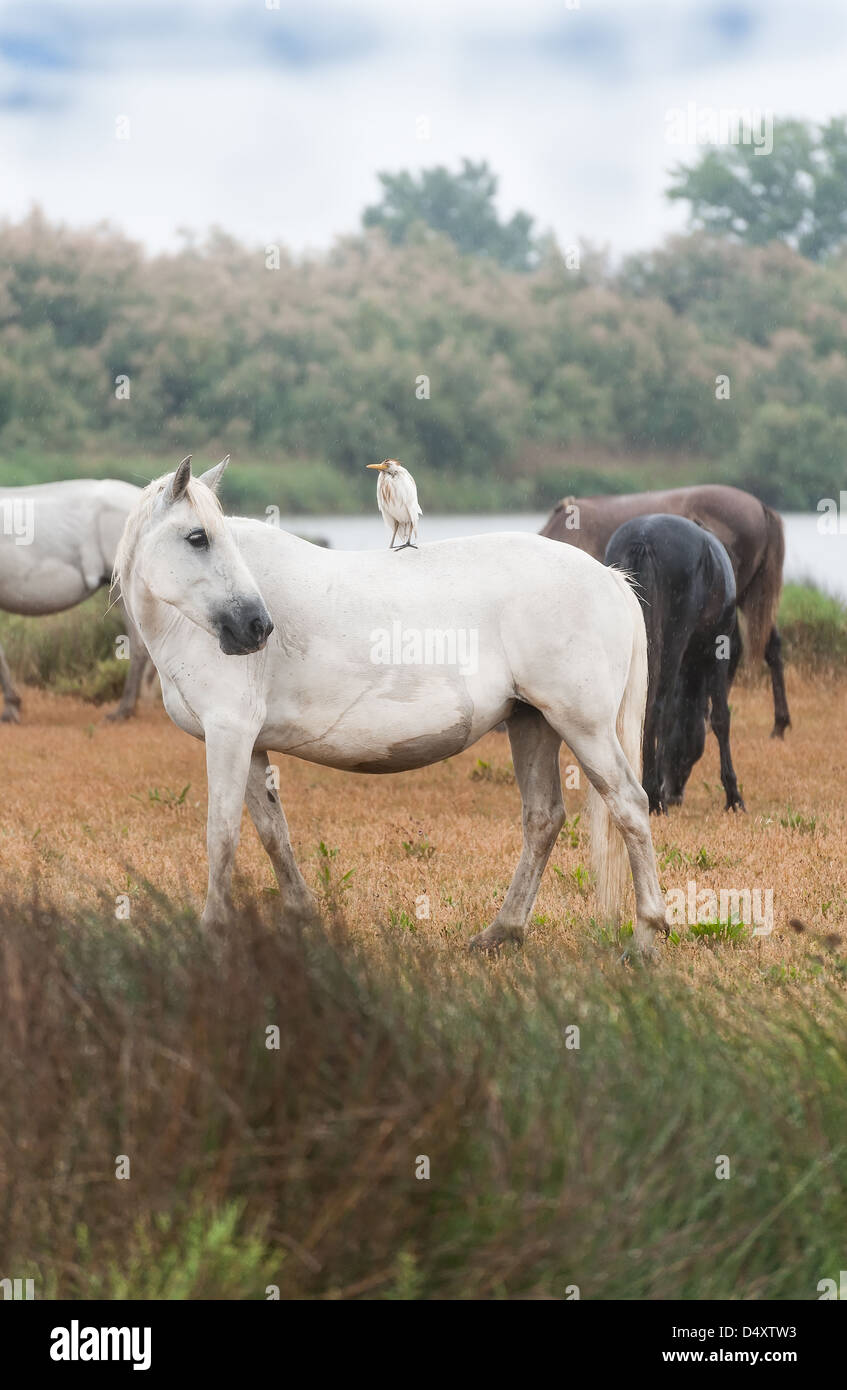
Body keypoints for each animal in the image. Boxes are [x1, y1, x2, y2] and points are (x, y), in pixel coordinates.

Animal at [114, 456, 669, 955]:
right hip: (532, 723)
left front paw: (212, 932)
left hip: (584, 728)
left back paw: (645, 936)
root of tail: (608, 577)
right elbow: (273, 833)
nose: (256, 626)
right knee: (543, 819)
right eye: (198, 538)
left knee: (628, 806)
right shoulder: (249, 747)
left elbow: (222, 835)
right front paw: (302, 917)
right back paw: (502, 932)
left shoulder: (229, 735)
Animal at [605, 515, 744, 815]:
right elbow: (720, 718)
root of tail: (643, 539)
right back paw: (653, 796)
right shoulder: (718, 649)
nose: (674, 792)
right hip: (673, 642)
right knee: (656, 709)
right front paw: (733, 796)